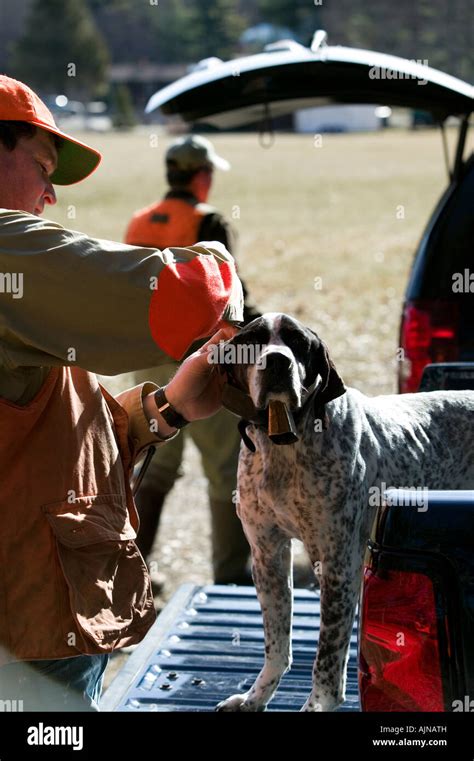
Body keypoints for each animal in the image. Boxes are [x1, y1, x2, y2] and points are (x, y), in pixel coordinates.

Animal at [217, 312, 474, 708]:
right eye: (254, 340)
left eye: (298, 343)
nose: (277, 362)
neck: (285, 445)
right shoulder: (268, 555)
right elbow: (276, 644)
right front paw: (255, 697)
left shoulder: (339, 563)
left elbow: (326, 656)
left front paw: (317, 705)